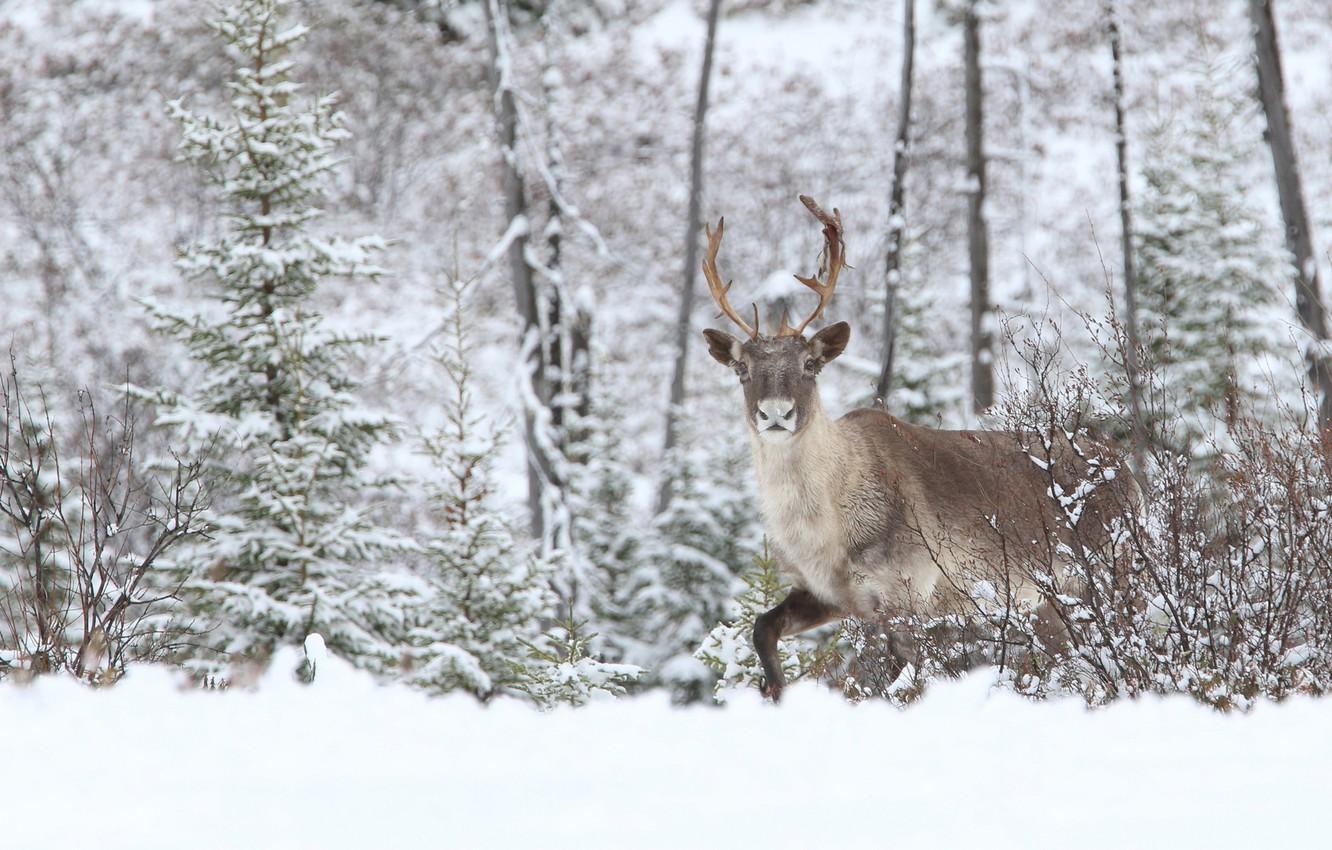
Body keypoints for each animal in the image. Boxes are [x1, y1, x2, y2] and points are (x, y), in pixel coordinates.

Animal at [700, 195, 1133, 701]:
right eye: (742, 369)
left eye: (810, 364)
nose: (775, 413)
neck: (828, 530)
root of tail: (1131, 474)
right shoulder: (834, 594)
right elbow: (761, 626)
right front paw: (773, 689)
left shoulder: (909, 592)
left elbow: (911, 677)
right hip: (1050, 600)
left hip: (1112, 570)